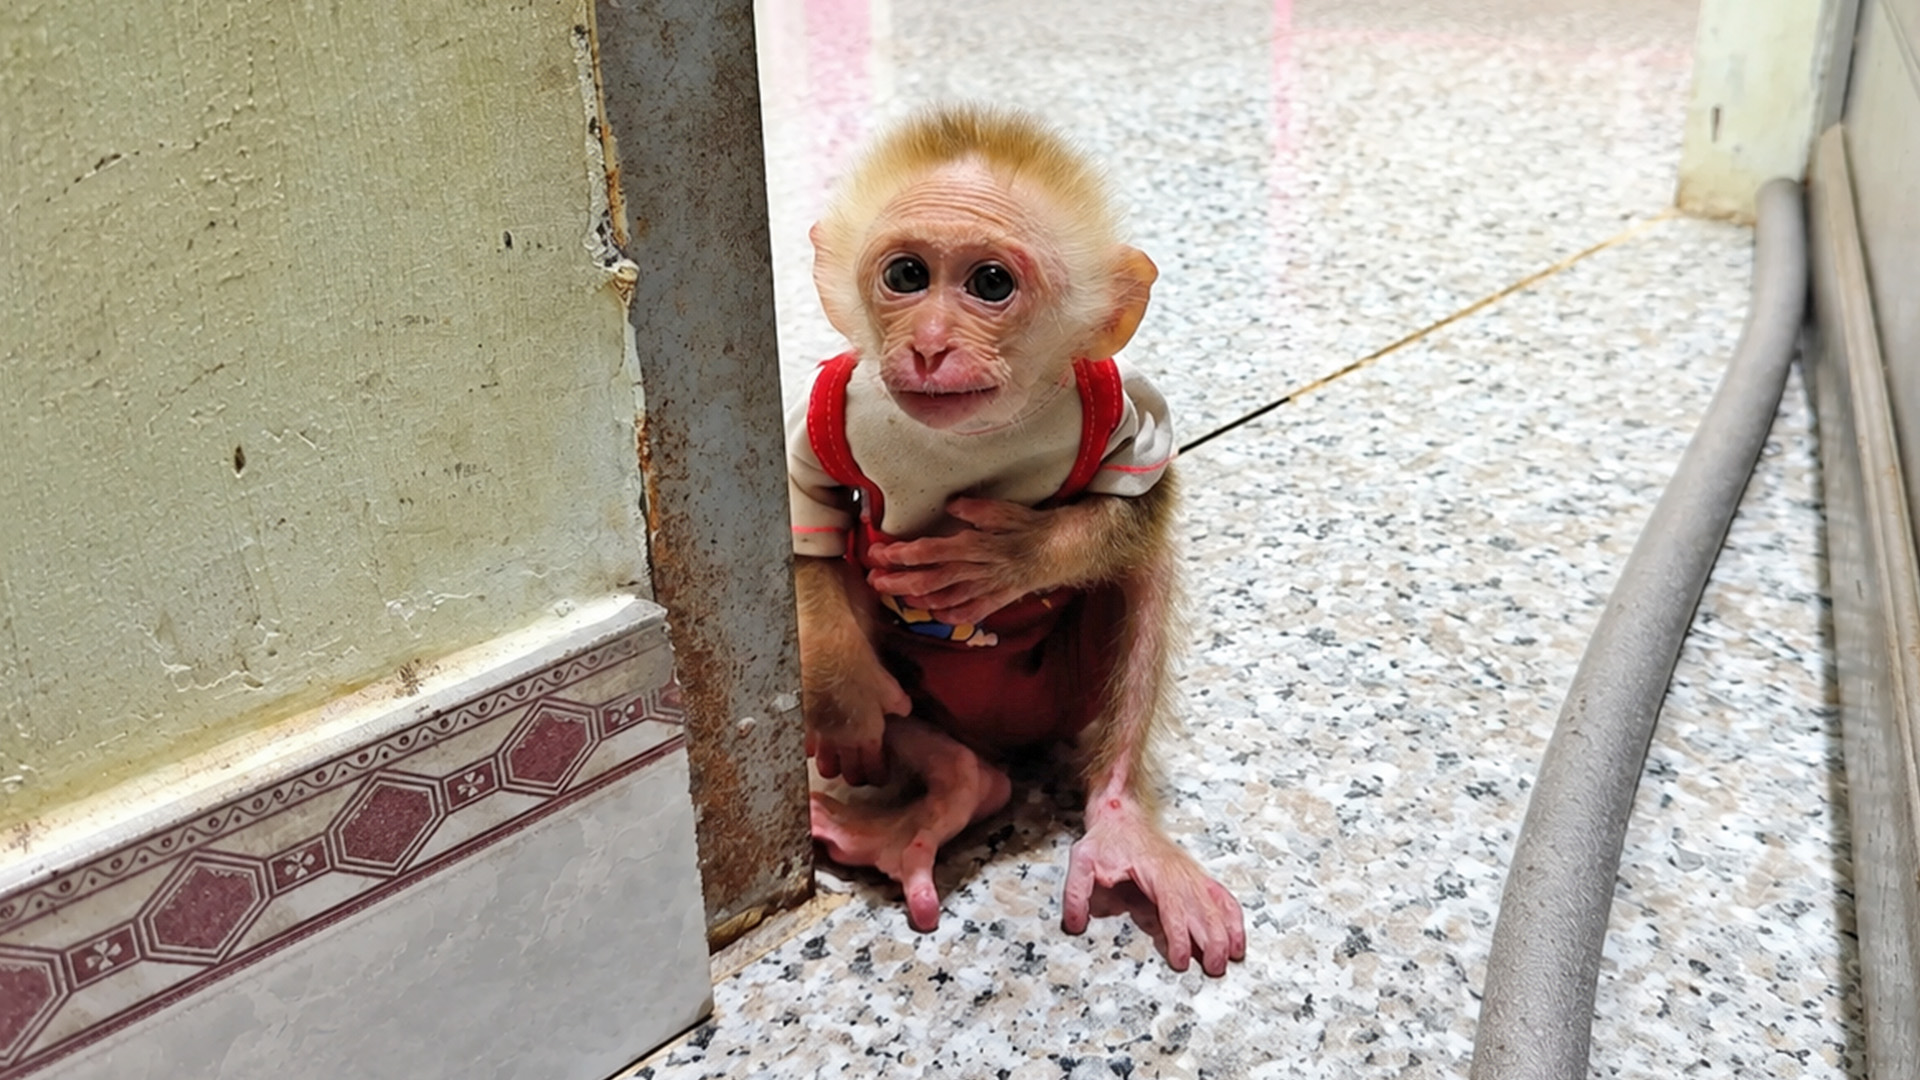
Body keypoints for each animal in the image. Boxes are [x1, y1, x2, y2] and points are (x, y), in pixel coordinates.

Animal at [786, 105, 1245, 977]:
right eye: (906, 275)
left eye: (991, 284)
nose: (929, 344)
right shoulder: (834, 397)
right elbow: (809, 520)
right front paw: (844, 690)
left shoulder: (1121, 400)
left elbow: (1144, 497)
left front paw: (1003, 560)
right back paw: (949, 788)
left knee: (1141, 576)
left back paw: (1116, 818)